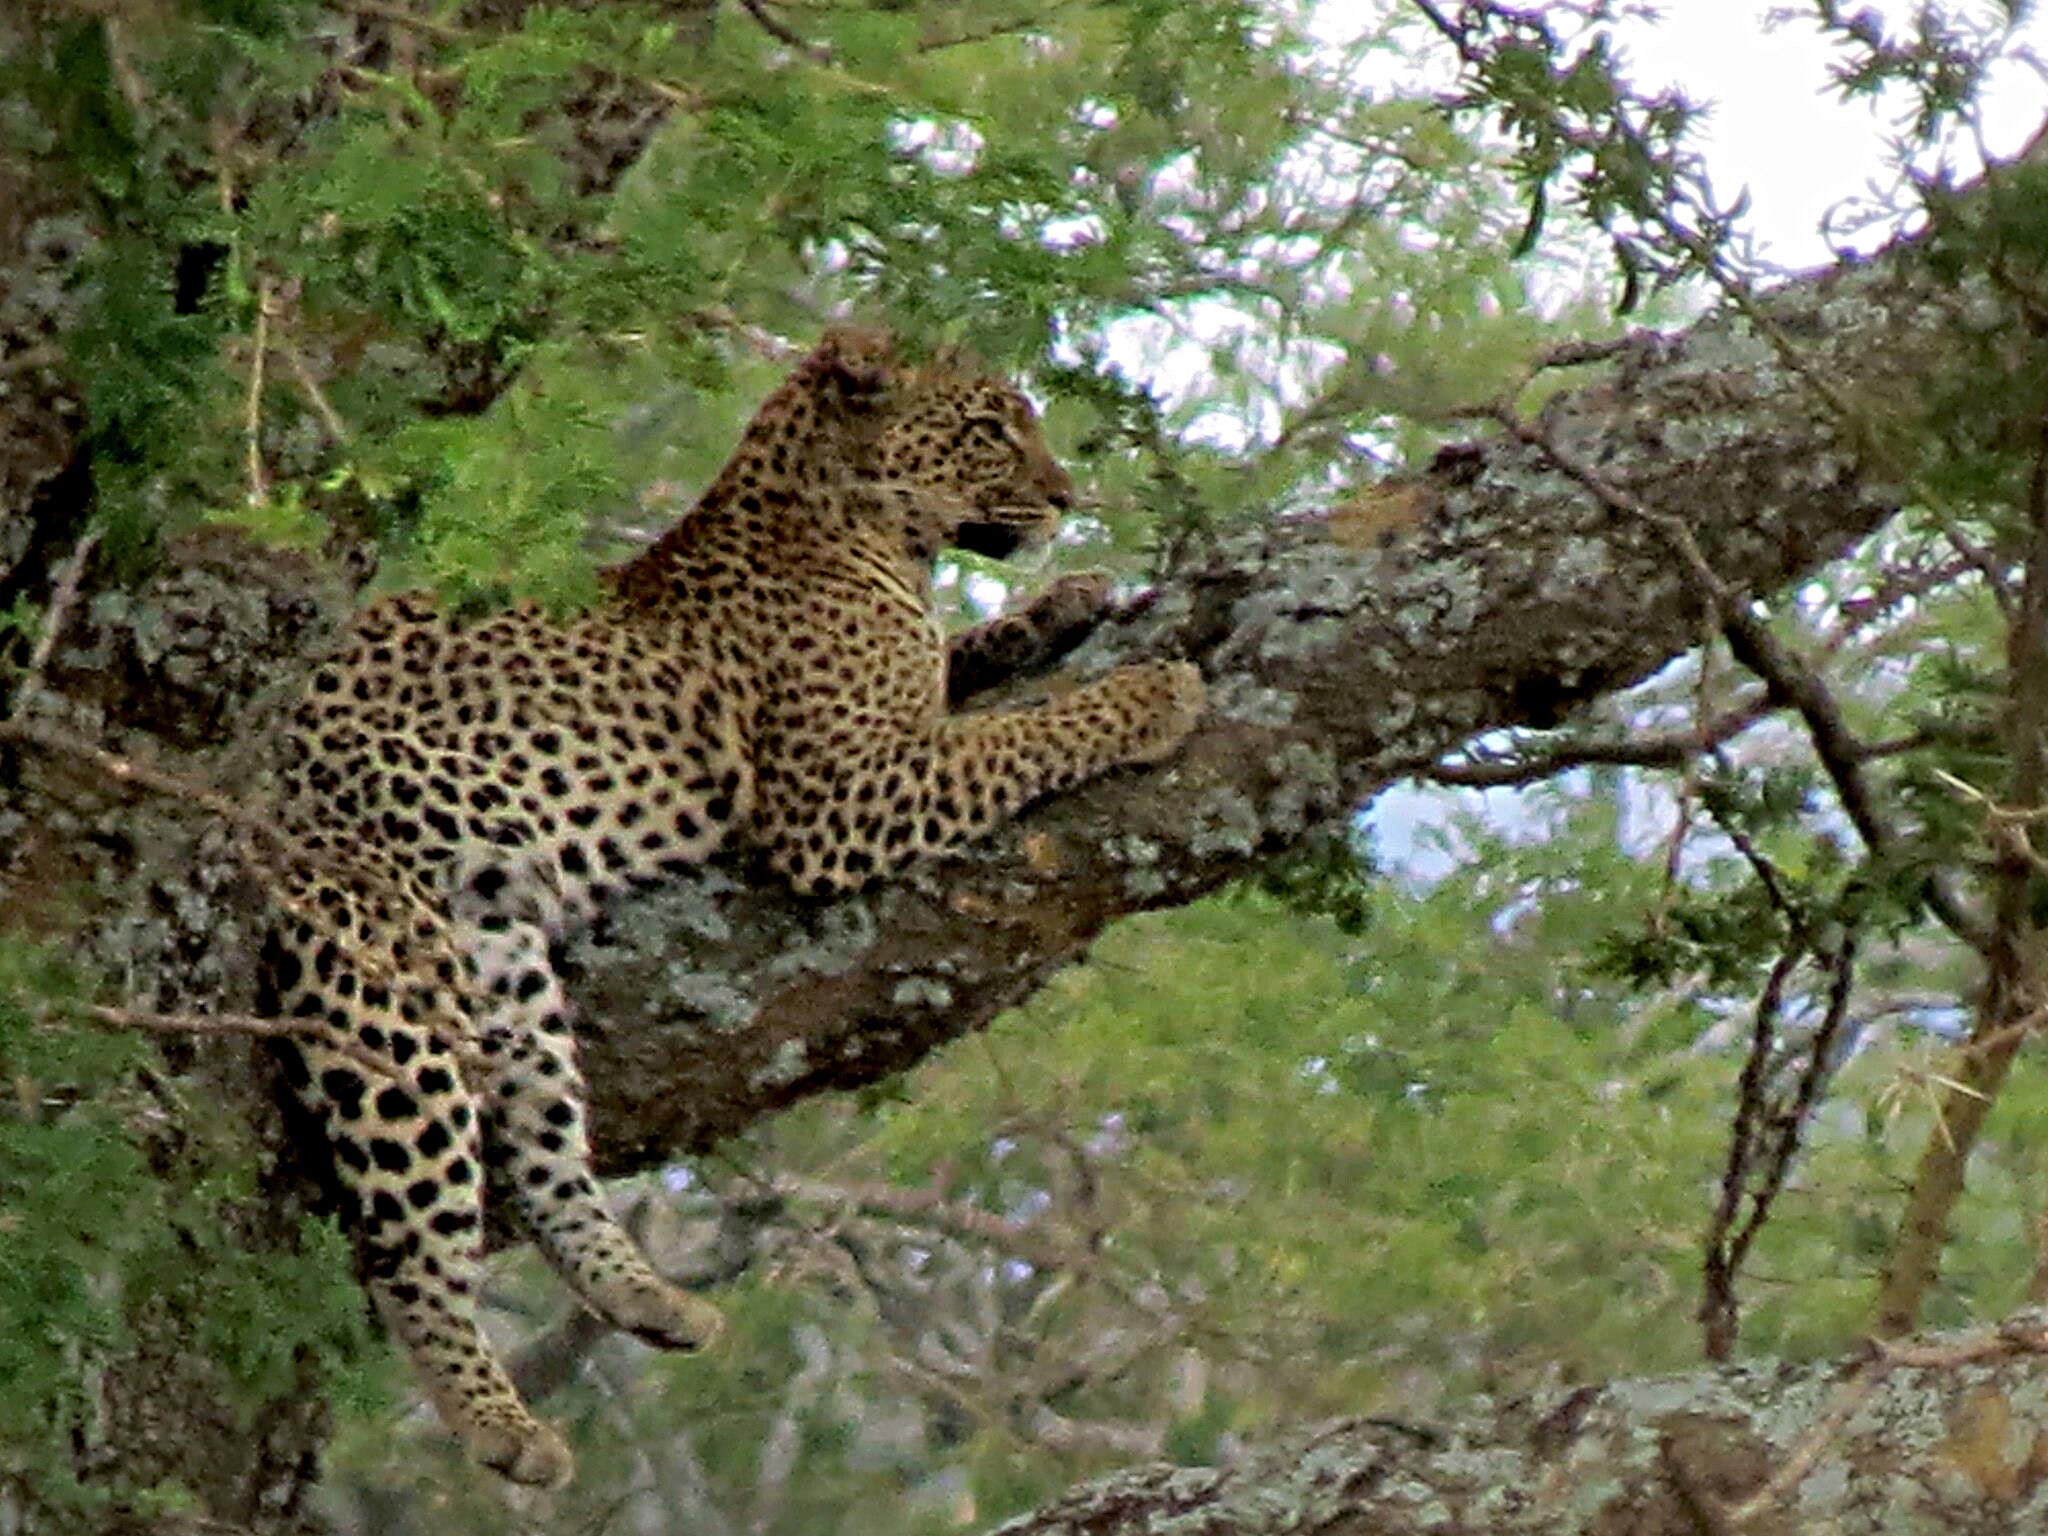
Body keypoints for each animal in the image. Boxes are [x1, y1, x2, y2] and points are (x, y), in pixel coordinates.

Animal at [259, 328, 1206, 1487]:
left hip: (495, 930)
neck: (864, 530)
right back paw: (497, 1421)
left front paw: (1062, 604)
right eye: (990, 429)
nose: (1065, 497)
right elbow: (1018, 736)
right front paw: (1149, 698)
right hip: (377, 950)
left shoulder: (898, 727)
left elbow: (961, 672)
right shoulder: (838, 802)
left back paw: (644, 1296)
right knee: (410, 1227)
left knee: (539, 1142)